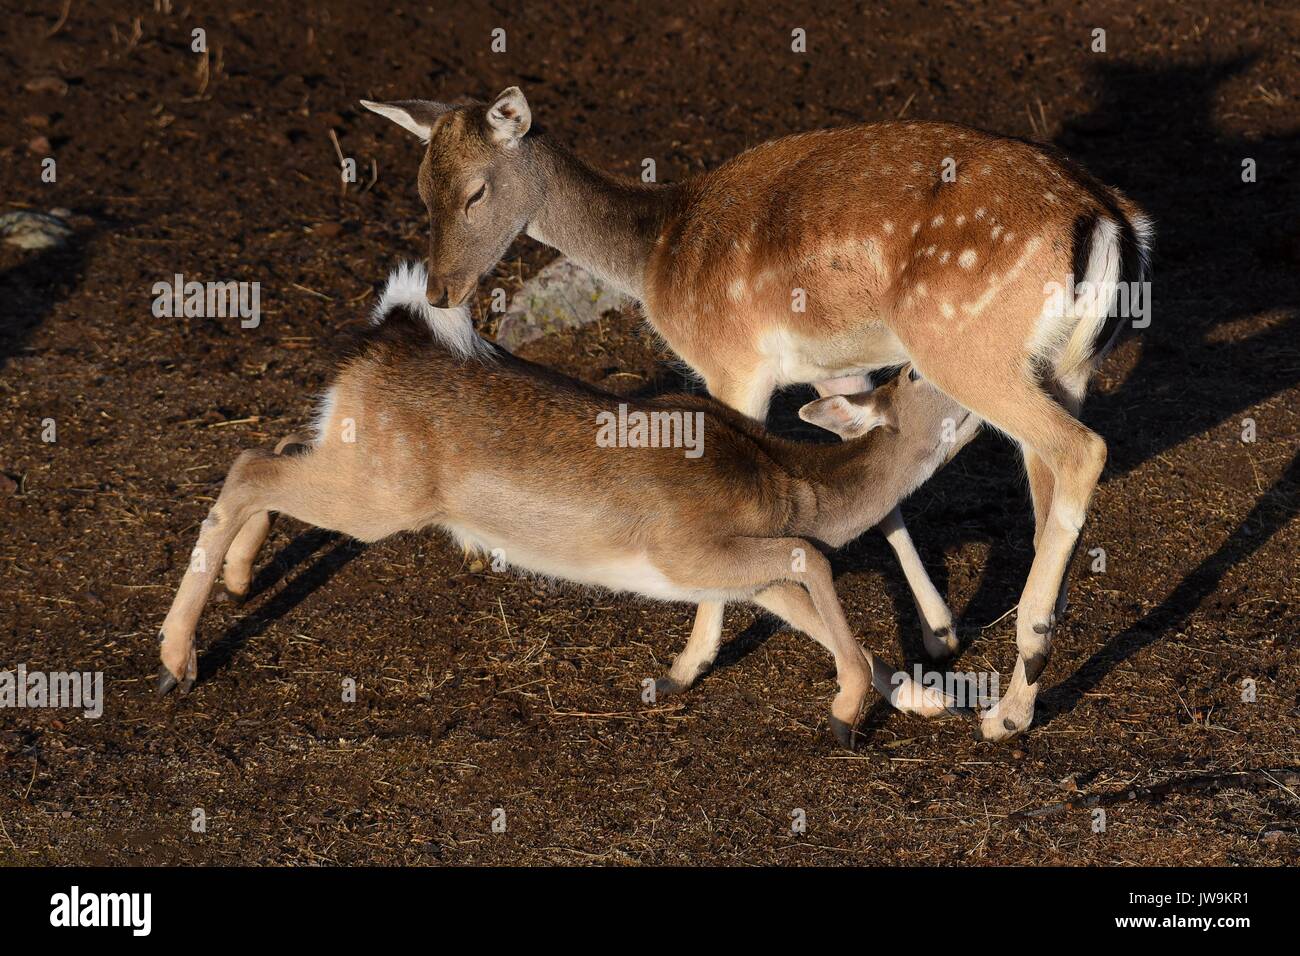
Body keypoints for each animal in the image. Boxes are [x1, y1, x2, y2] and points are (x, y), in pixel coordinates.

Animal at [157, 262, 981, 748]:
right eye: (912, 372)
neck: (791, 486)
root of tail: (386, 339)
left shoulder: (732, 567)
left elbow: (803, 603)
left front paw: (924, 700)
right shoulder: (687, 545)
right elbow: (811, 558)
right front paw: (847, 713)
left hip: (358, 462)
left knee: (276, 447)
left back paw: (238, 581)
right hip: (384, 496)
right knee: (246, 466)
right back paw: (176, 662)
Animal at [360, 88, 1153, 741]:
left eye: (476, 192)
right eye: (420, 189)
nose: (439, 291)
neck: (655, 256)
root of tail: (1113, 221)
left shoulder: (733, 363)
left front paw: (684, 666)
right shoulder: (839, 365)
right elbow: (884, 491)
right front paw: (939, 632)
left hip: (968, 349)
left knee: (1083, 450)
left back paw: (1017, 686)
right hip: (1063, 366)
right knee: (1048, 486)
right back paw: (1023, 683)